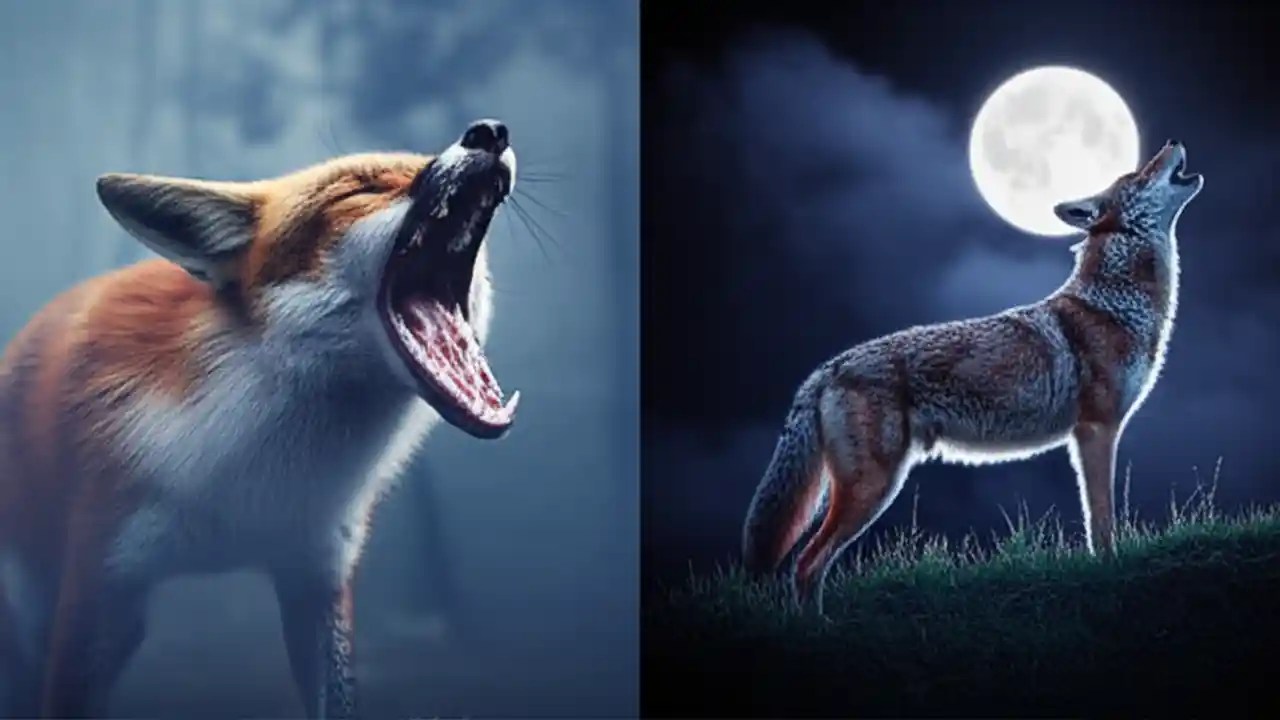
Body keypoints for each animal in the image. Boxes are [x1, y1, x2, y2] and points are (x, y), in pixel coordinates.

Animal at [742, 140, 1204, 612]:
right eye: (1139, 175)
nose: (1172, 143)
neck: (1115, 304)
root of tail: (825, 370)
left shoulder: (1087, 436)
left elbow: (1099, 518)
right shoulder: (1096, 430)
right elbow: (1103, 521)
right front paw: (1109, 573)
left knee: (807, 565)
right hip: (872, 487)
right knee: (806, 563)